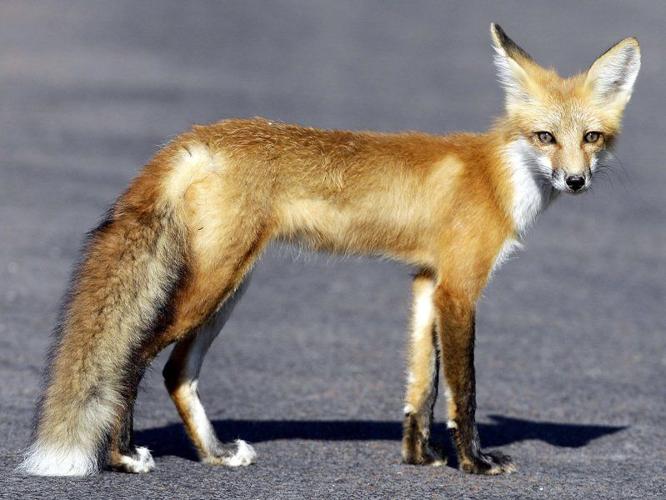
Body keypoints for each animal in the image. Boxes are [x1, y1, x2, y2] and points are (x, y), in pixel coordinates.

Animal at [18, 24, 640, 477]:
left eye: (591, 138)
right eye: (545, 137)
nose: (576, 181)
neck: (495, 178)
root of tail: (195, 138)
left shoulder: (426, 281)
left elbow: (420, 386)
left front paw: (420, 459)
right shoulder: (460, 288)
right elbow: (463, 390)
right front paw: (473, 463)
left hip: (230, 285)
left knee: (178, 372)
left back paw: (215, 455)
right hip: (212, 282)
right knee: (132, 357)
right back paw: (122, 457)